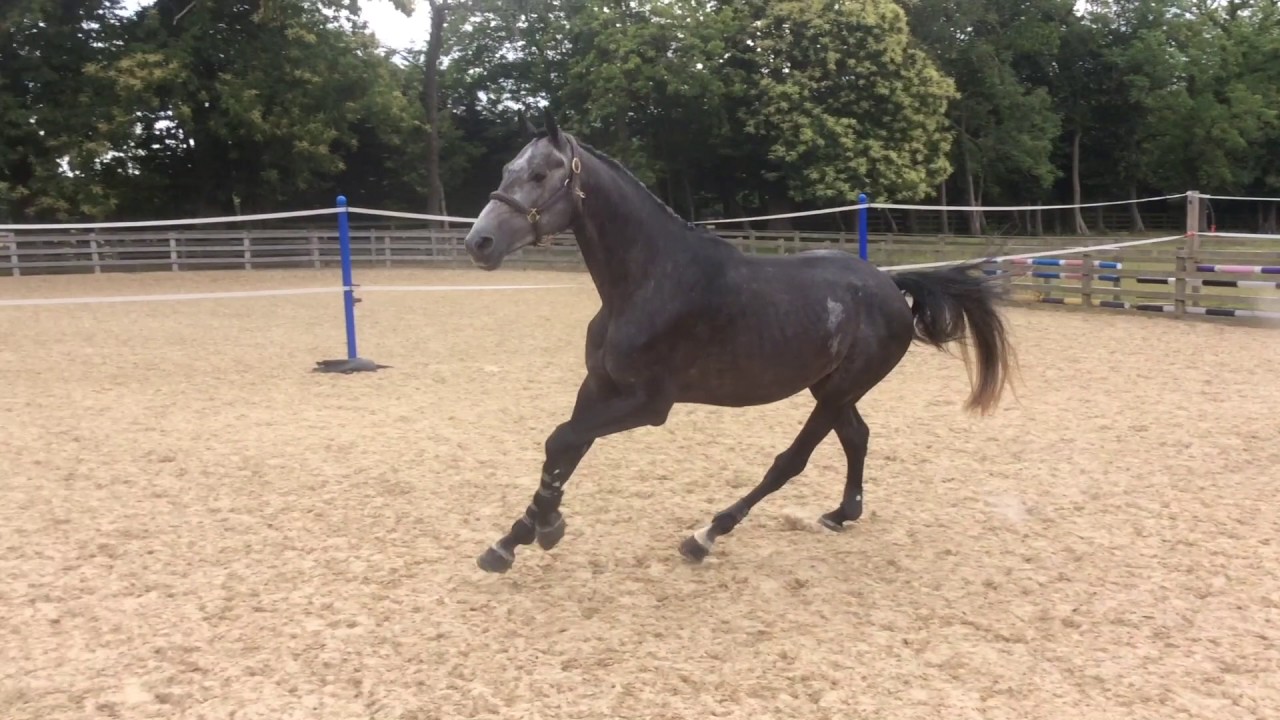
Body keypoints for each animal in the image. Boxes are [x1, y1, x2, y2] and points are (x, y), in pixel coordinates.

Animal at [461, 109, 1015, 573]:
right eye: (508, 169)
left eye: (539, 175)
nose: (478, 243)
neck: (648, 282)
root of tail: (891, 285)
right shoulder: (599, 385)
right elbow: (567, 445)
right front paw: (517, 538)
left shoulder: (649, 403)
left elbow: (562, 439)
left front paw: (541, 528)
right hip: (831, 389)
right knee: (857, 437)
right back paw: (840, 514)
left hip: (838, 391)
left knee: (791, 461)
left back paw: (706, 534)